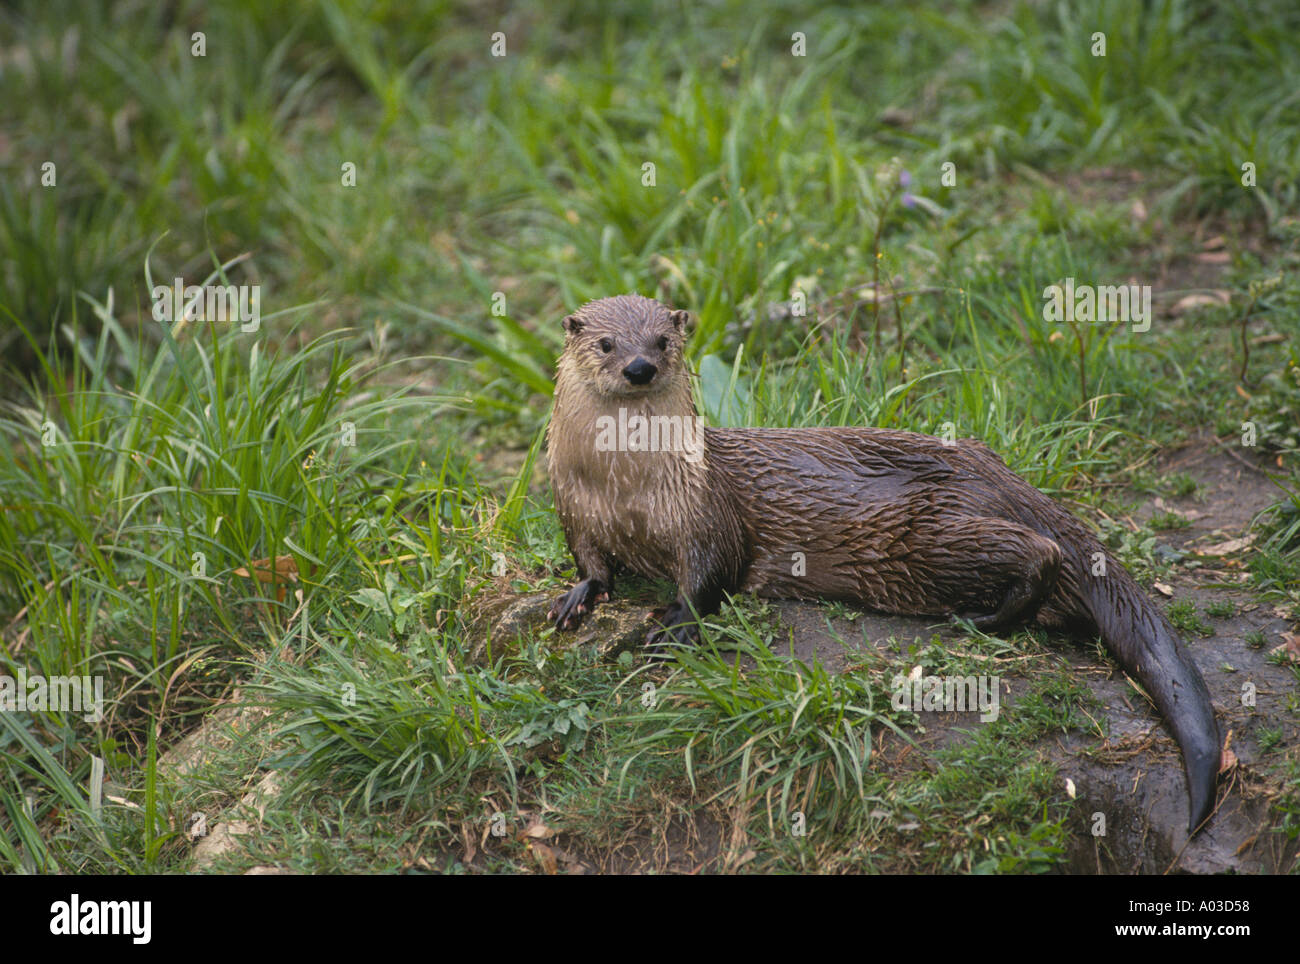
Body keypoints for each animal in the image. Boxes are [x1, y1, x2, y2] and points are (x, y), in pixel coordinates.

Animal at [545, 293, 1221, 833]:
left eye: (662, 340)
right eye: (606, 342)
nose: (639, 366)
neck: (628, 489)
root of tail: (1002, 476)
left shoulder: (707, 515)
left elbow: (709, 577)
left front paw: (668, 627)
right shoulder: (572, 505)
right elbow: (591, 562)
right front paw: (578, 597)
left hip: (927, 534)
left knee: (1042, 553)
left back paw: (982, 619)